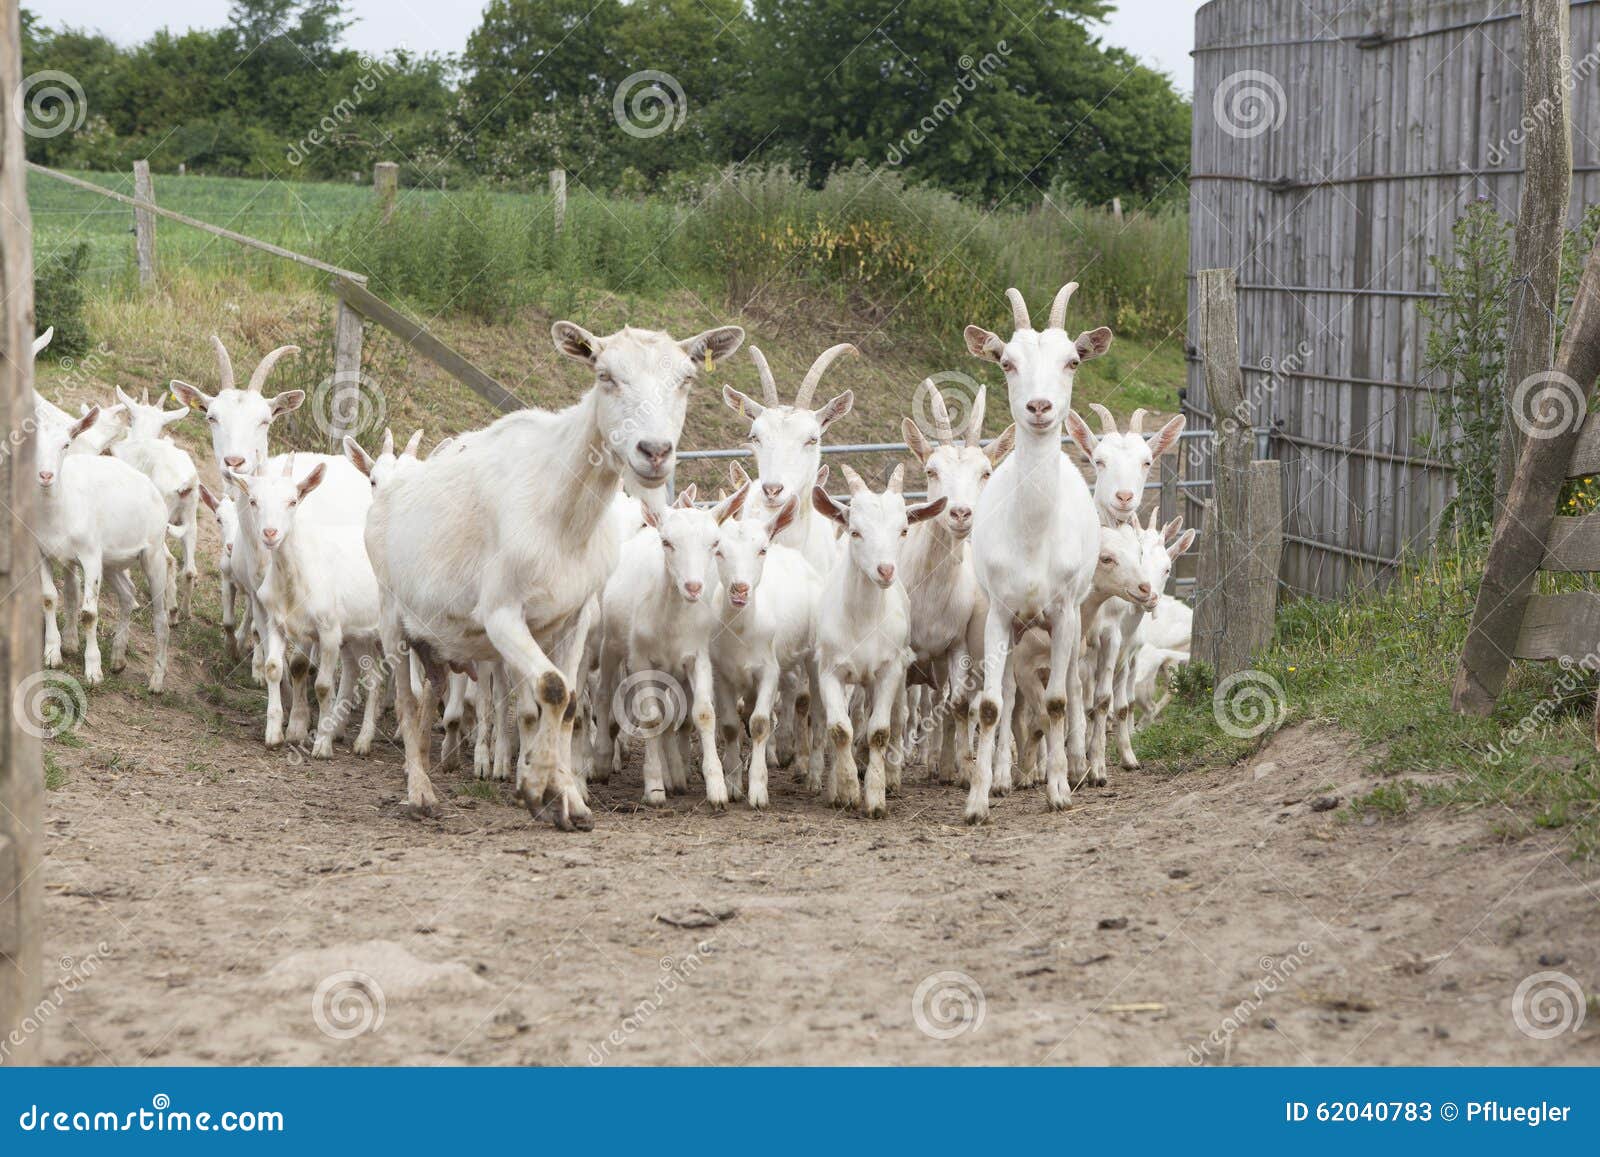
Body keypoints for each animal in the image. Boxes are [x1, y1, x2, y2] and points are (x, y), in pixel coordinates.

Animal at [365, 320, 745, 828]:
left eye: (686, 379)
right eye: (605, 376)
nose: (655, 451)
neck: (562, 515)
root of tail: (390, 482)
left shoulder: (576, 615)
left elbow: (566, 704)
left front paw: (565, 797)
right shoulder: (502, 612)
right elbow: (551, 688)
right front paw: (537, 789)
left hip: (435, 635)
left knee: (430, 693)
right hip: (391, 612)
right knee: (407, 700)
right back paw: (420, 792)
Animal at [811, 464, 945, 817]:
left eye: (903, 530)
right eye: (855, 531)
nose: (885, 570)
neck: (863, 621)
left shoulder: (888, 670)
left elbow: (880, 732)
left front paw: (874, 798)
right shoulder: (829, 670)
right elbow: (840, 728)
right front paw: (845, 790)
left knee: (895, 719)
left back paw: (890, 776)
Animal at [964, 283, 1112, 822]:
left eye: (1073, 360)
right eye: (1006, 361)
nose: (1040, 407)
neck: (1031, 535)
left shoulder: (1065, 611)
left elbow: (1056, 702)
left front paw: (1059, 791)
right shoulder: (999, 613)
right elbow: (992, 705)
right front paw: (979, 799)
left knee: (1071, 686)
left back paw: (1077, 765)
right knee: (1009, 695)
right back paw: (1008, 777)